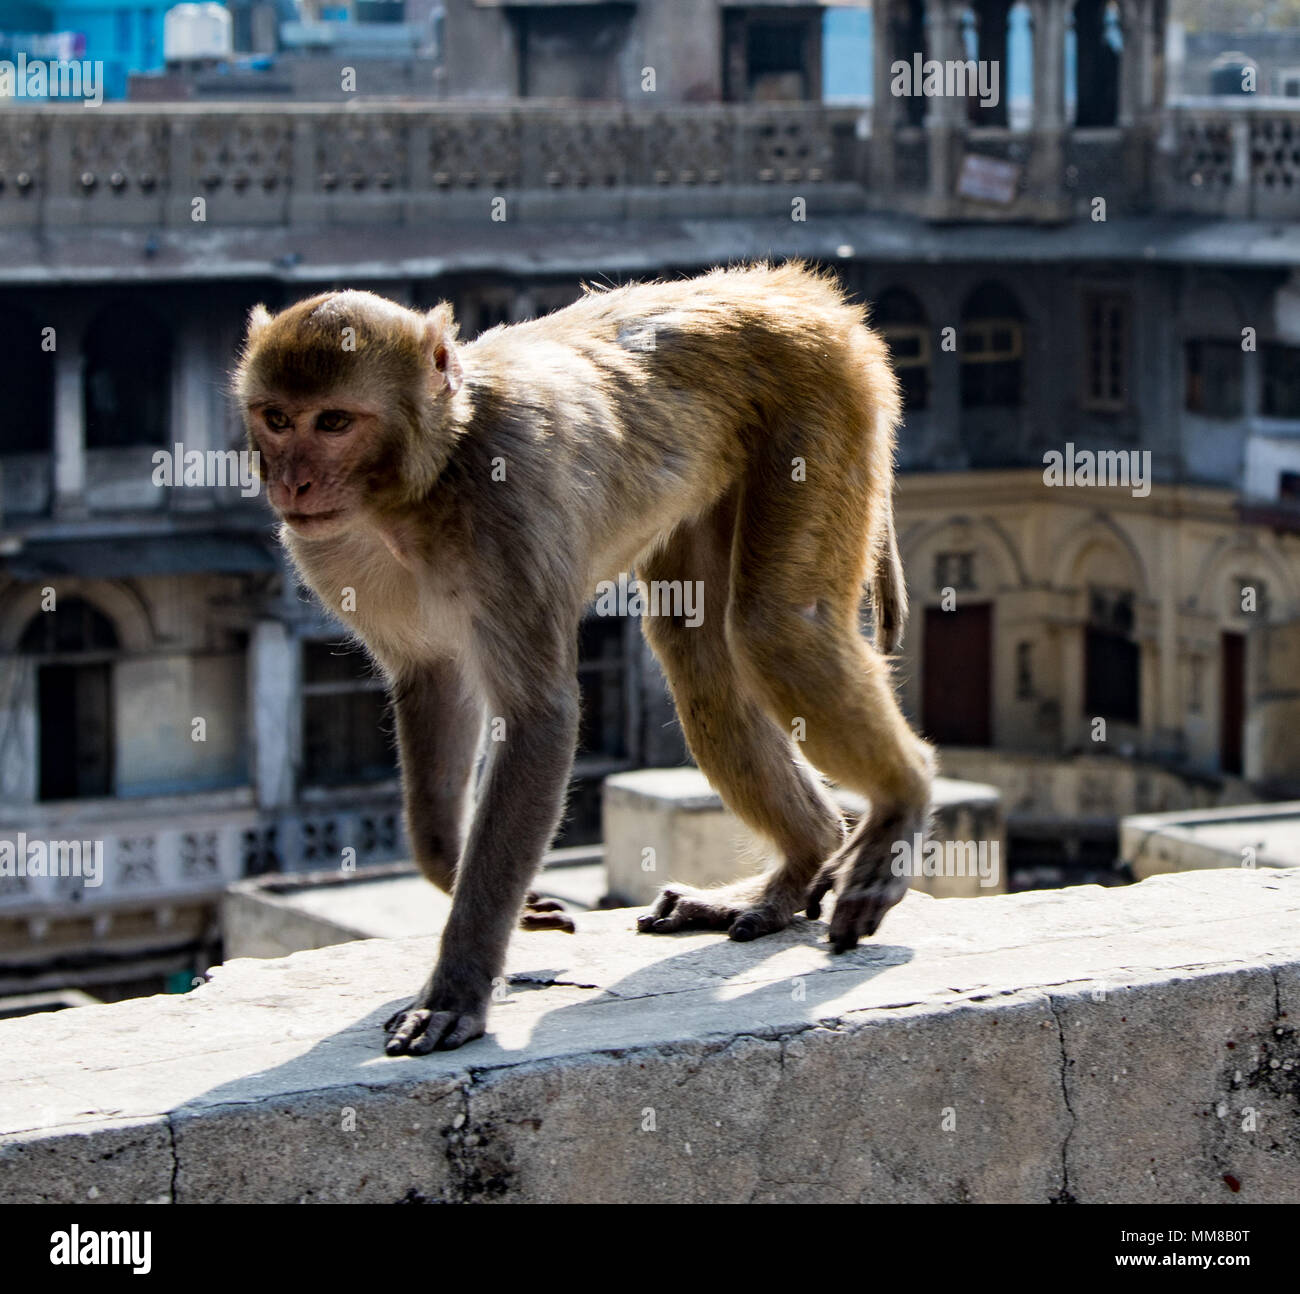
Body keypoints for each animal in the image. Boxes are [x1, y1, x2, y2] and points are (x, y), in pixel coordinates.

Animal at [234, 262, 934, 1055]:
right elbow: (435, 682)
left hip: (822, 402)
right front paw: (453, 863)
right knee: (702, 657)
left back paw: (900, 801)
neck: (421, 487)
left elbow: (538, 719)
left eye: (333, 422)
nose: (290, 481)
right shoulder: (336, 554)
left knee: (774, 629)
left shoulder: (507, 519)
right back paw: (797, 866)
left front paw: (457, 987)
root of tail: (794, 290)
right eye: (277, 417)